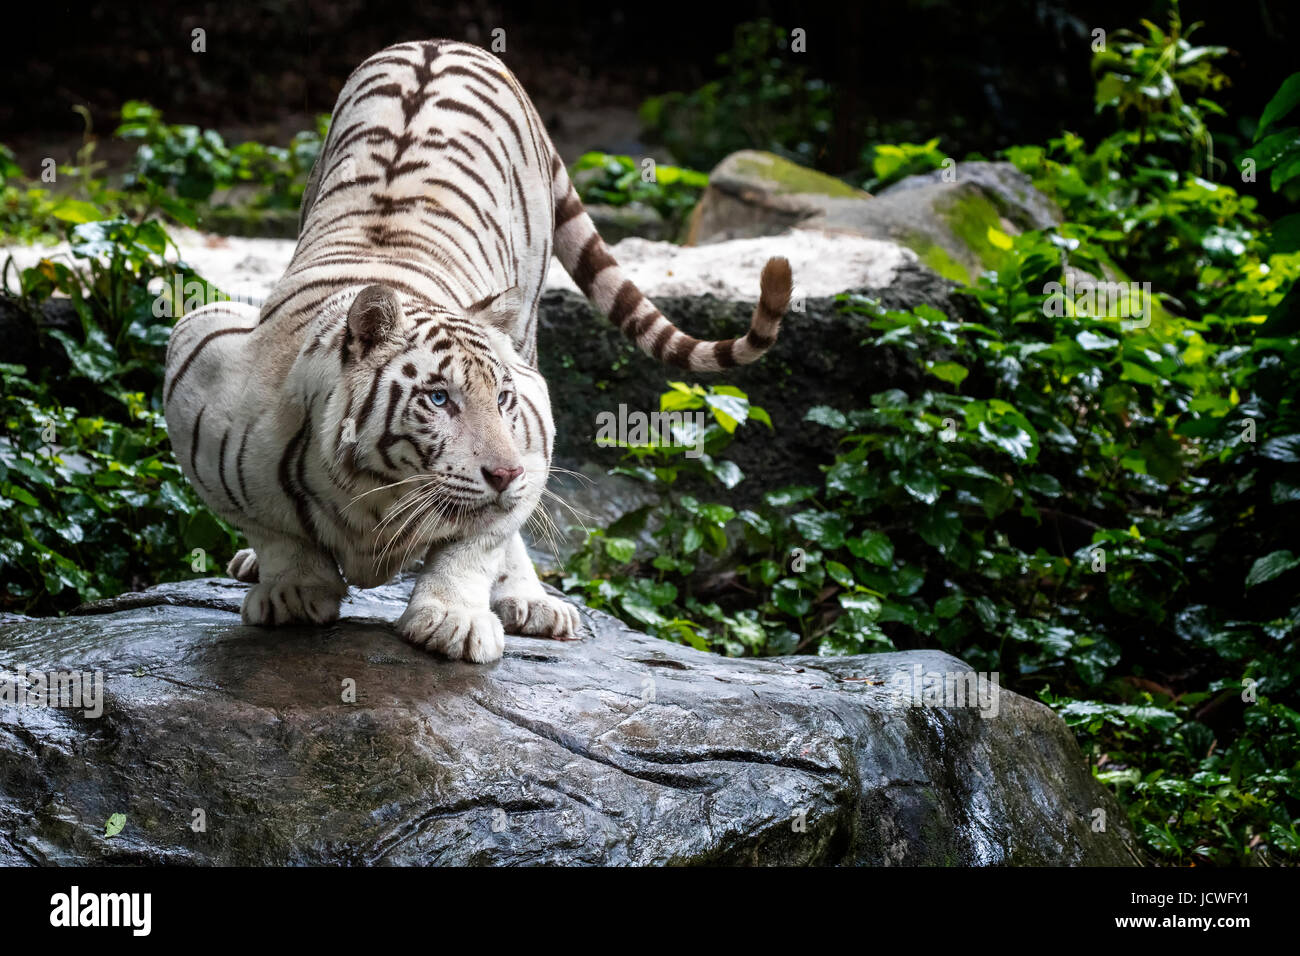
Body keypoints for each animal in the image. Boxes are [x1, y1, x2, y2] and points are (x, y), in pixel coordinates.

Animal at [163, 39, 792, 663]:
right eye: (439, 398)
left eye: (504, 400)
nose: (504, 472)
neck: (369, 491)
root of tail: (444, 42)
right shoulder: (200, 365)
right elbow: (273, 529)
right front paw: (292, 589)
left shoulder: (533, 431)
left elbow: (478, 540)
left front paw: (453, 618)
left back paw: (534, 603)